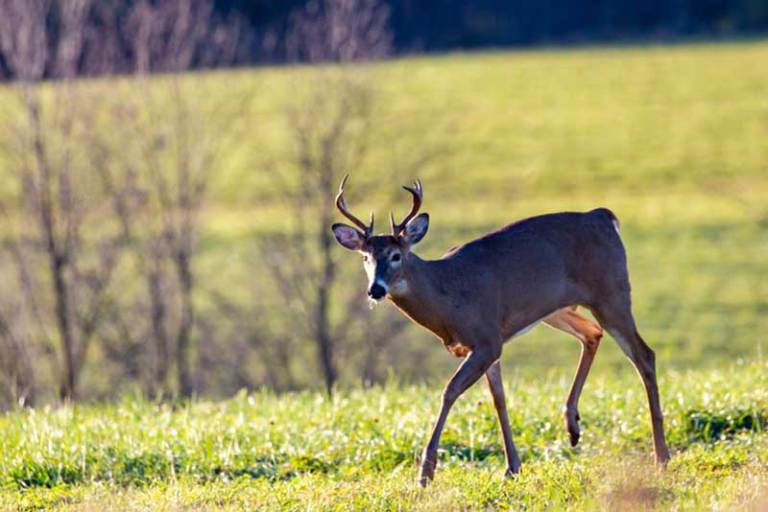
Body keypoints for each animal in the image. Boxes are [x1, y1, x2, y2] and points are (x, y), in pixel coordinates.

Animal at [331, 175, 670, 486]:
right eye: (365, 257)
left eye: (396, 255)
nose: (375, 290)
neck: (447, 295)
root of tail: (603, 216)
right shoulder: (488, 345)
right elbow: (499, 399)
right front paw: (512, 467)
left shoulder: (487, 339)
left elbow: (449, 390)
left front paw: (426, 472)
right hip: (557, 309)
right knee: (592, 334)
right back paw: (572, 426)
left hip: (611, 293)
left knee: (644, 355)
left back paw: (661, 456)